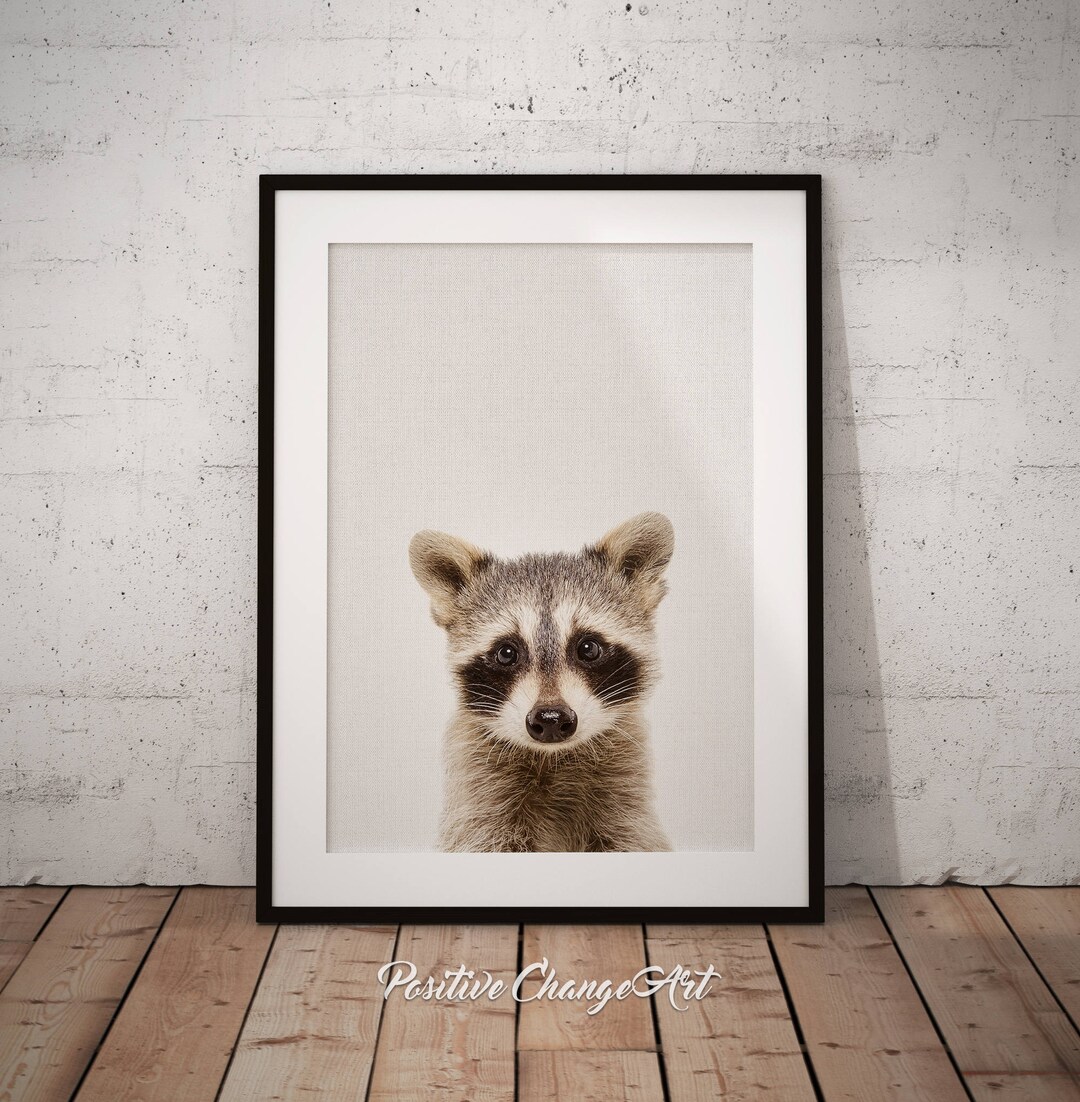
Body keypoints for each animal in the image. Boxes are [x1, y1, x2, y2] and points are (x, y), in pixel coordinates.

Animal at [409, 512, 674, 853]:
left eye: (588, 648)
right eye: (506, 653)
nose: (550, 719)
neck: (554, 758)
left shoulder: (625, 797)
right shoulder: (481, 800)